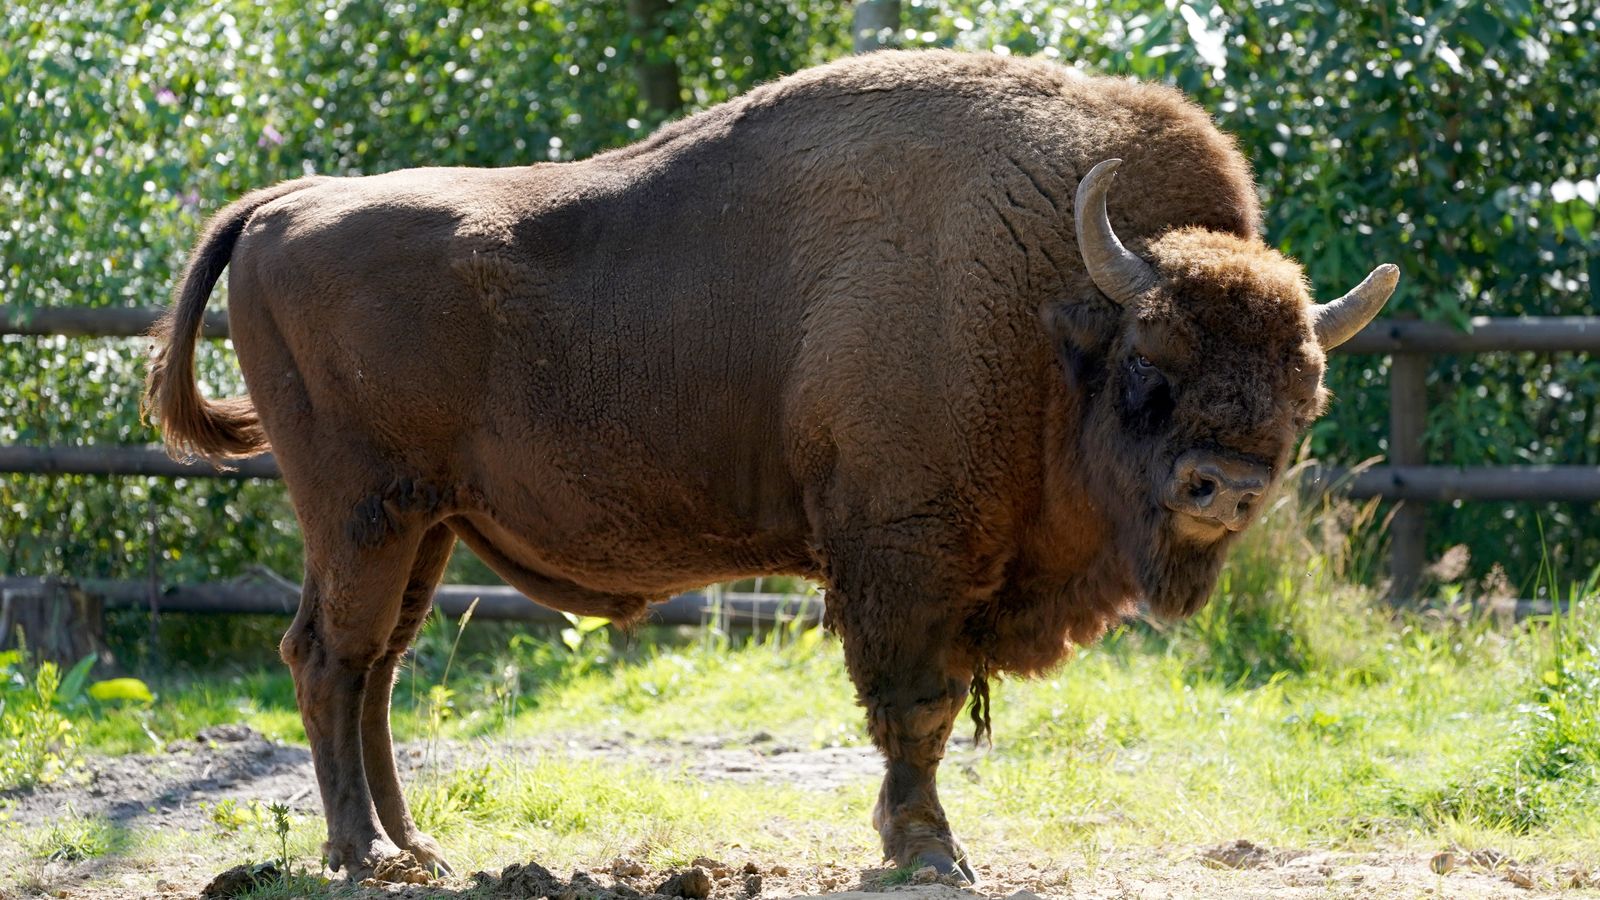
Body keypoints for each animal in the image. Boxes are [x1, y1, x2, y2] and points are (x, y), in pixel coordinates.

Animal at [146, 50, 1396, 883]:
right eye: (1150, 364)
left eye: (1306, 391)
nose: (1223, 487)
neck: (1051, 313)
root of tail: (285, 203)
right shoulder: (904, 552)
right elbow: (917, 703)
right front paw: (926, 851)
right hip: (361, 508)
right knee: (327, 655)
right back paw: (360, 853)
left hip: (425, 524)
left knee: (377, 668)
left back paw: (418, 845)